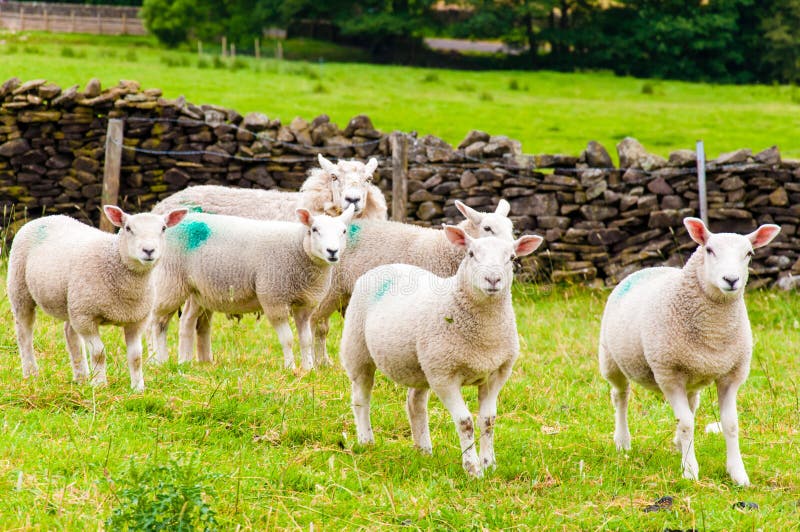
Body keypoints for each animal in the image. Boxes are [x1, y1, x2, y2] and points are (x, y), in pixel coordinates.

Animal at [6, 206, 188, 391]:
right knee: (24, 333)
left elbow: (136, 356)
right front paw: (100, 384)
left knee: (70, 333)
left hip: (73, 302)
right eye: (128, 228)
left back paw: (82, 377)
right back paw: (31, 373)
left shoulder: (137, 319)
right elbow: (99, 353)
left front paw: (138, 387)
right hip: (20, 289)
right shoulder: (86, 317)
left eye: (163, 229)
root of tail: (46, 217)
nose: (149, 250)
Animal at [149, 206, 355, 370]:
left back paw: (185, 362)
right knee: (157, 322)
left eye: (344, 231)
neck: (298, 249)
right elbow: (287, 338)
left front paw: (309, 369)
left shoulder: (305, 305)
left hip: (197, 290)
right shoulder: (274, 299)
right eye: (315, 229)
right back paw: (158, 360)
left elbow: (306, 340)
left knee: (187, 322)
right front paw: (290, 368)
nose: (332, 252)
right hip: (169, 282)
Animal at [310, 199, 515, 366]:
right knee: (317, 324)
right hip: (330, 289)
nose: (512, 250)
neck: (445, 250)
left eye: (511, 228)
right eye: (488, 228)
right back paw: (319, 363)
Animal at [340, 226, 543, 477]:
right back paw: (366, 440)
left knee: (415, 403)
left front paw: (489, 464)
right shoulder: (444, 376)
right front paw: (473, 469)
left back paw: (424, 450)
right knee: (361, 397)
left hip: (420, 364)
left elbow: (488, 420)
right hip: (358, 349)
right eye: (471, 254)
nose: (493, 279)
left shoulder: (496, 373)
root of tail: (384, 267)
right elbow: (465, 422)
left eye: (512, 258)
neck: (484, 336)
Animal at [598, 217, 780, 486]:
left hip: (693, 373)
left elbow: (730, 424)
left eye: (749, 253)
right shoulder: (668, 374)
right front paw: (690, 471)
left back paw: (676, 443)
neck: (713, 332)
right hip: (612, 361)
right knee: (620, 396)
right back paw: (622, 441)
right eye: (709, 250)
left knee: (692, 405)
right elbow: (685, 423)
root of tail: (649, 267)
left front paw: (738, 473)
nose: (731, 279)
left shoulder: (731, 376)